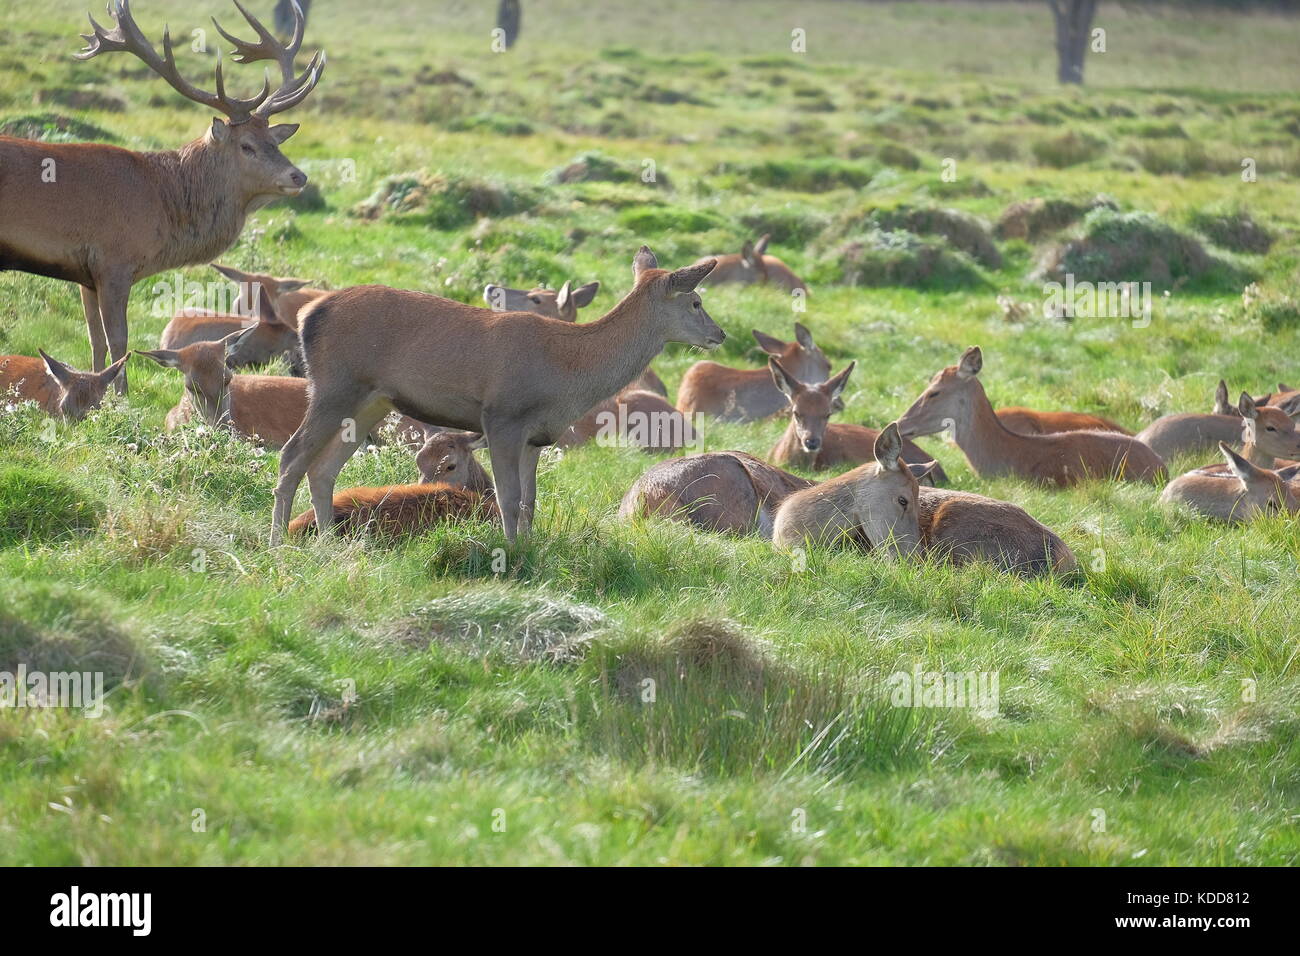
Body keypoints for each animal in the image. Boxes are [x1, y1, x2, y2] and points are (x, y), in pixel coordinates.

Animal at [0, 1, 324, 394]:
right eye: (247, 145)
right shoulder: (114, 261)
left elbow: (94, 340)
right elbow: (119, 340)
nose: (298, 176)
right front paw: (121, 398)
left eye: (276, 142)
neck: (163, 206)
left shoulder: (84, 274)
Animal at [270, 246, 725, 545]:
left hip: (371, 401)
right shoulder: (503, 416)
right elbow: (508, 498)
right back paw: (278, 545)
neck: (568, 374)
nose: (720, 334)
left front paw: (529, 547)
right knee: (292, 456)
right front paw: (511, 553)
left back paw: (330, 544)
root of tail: (308, 314)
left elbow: (530, 501)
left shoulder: (537, 436)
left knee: (323, 468)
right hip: (335, 385)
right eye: (696, 301)